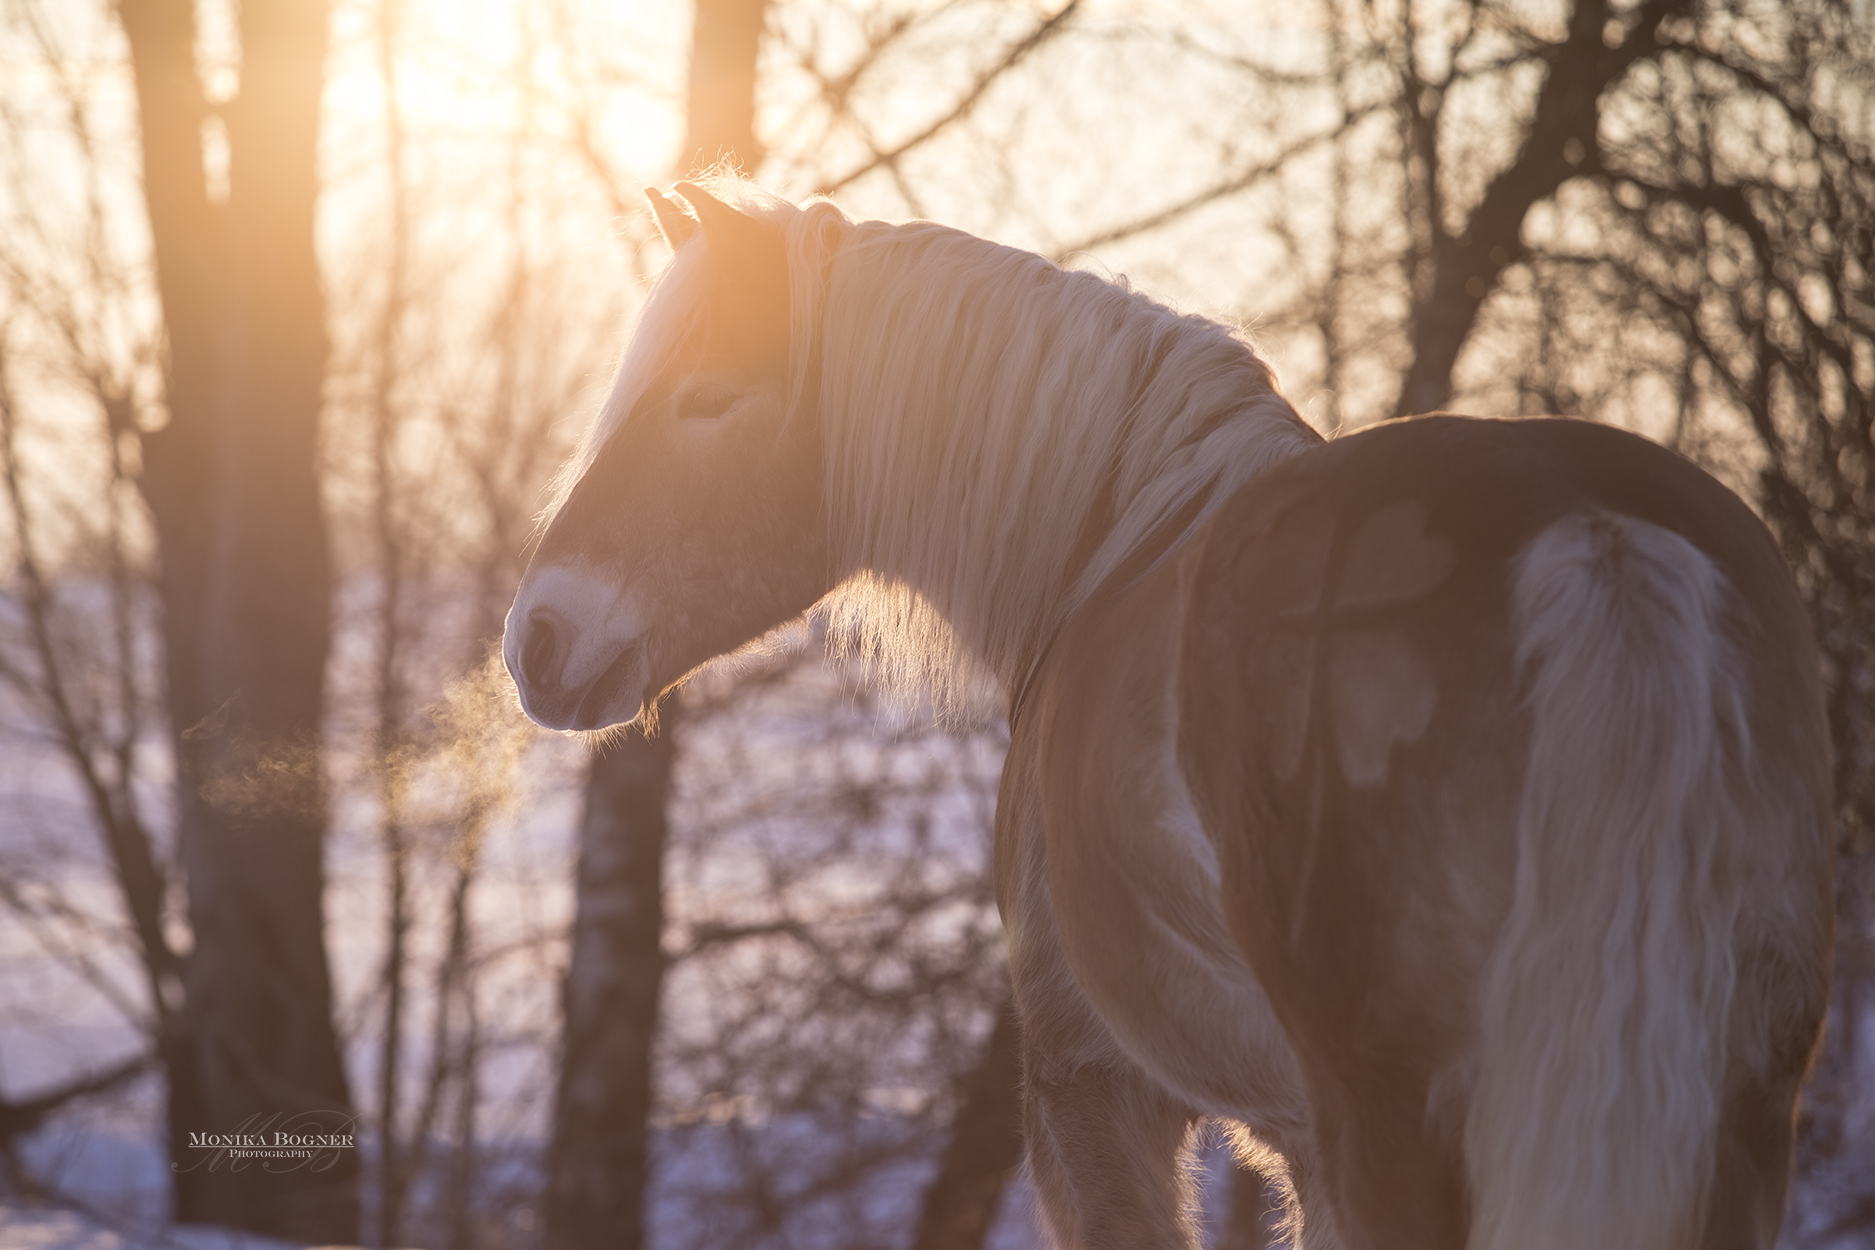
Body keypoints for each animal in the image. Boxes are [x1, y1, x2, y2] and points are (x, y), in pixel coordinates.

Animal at [503, 178, 1835, 1250]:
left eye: (707, 398)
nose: (537, 639)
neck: (1108, 536)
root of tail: (1592, 538)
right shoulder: (1296, 1142)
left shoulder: (1094, 1091)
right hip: (1731, 1113)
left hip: (1406, 1131)